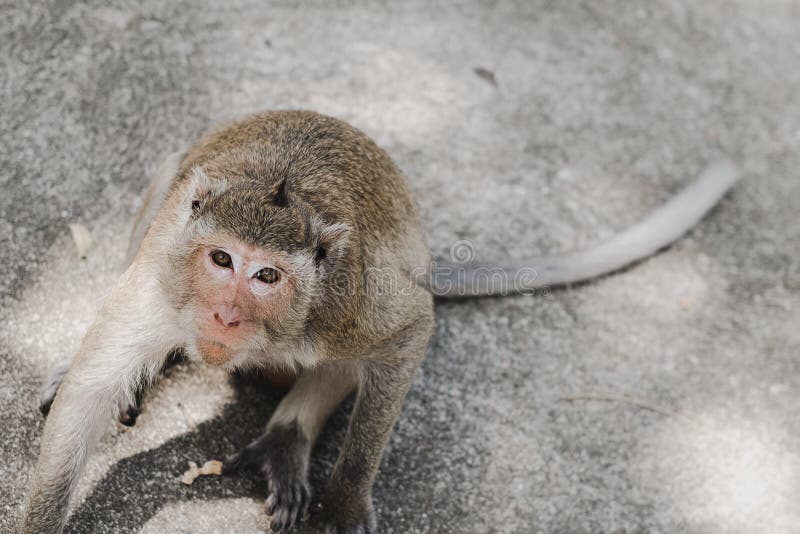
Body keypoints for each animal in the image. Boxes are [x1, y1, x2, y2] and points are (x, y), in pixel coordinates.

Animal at [22, 110, 740, 534]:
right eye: (221, 259)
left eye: (267, 277)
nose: (225, 314)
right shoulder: (160, 281)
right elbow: (90, 393)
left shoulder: (345, 299)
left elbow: (407, 335)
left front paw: (345, 502)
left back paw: (287, 439)